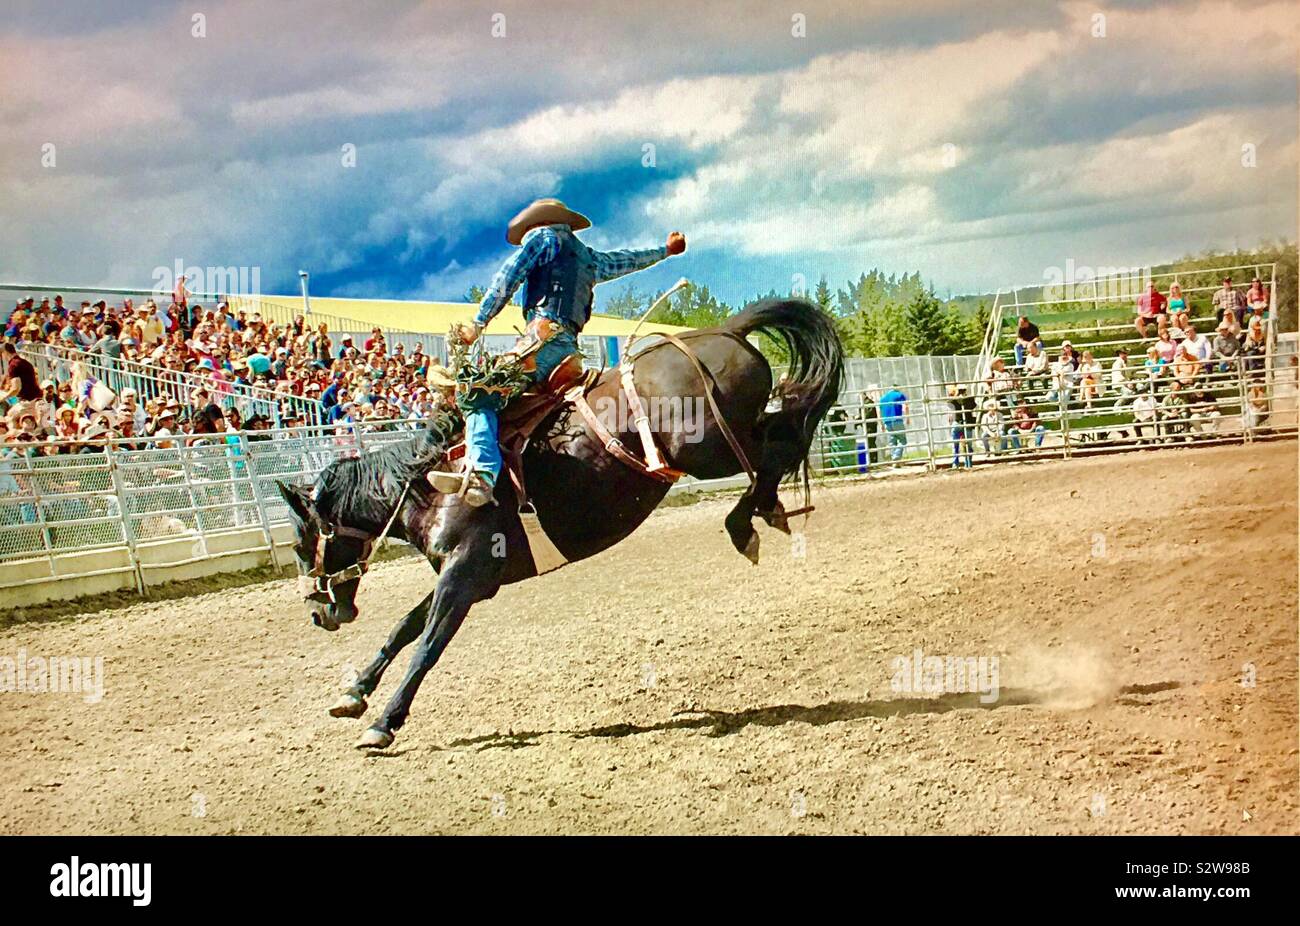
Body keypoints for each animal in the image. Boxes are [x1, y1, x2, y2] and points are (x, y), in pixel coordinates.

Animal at [277, 298, 844, 749]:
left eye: (304, 545)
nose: (318, 614)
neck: (435, 485)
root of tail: (726, 329)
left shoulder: (465, 575)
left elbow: (427, 646)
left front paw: (384, 723)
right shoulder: (462, 577)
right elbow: (404, 629)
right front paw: (353, 693)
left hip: (708, 448)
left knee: (782, 442)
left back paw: (746, 522)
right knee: (787, 434)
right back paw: (762, 513)